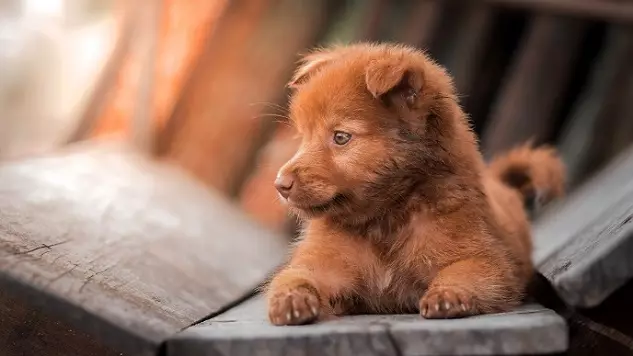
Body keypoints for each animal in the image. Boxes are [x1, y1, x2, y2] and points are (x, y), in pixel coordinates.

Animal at [266, 42, 564, 326]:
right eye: (303, 136)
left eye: (340, 137)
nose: (280, 185)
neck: (384, 221)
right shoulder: (323, 265)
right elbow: (297, 277)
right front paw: (290, 300)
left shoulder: (486, 261)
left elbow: (460, 272)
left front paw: (447, 295)